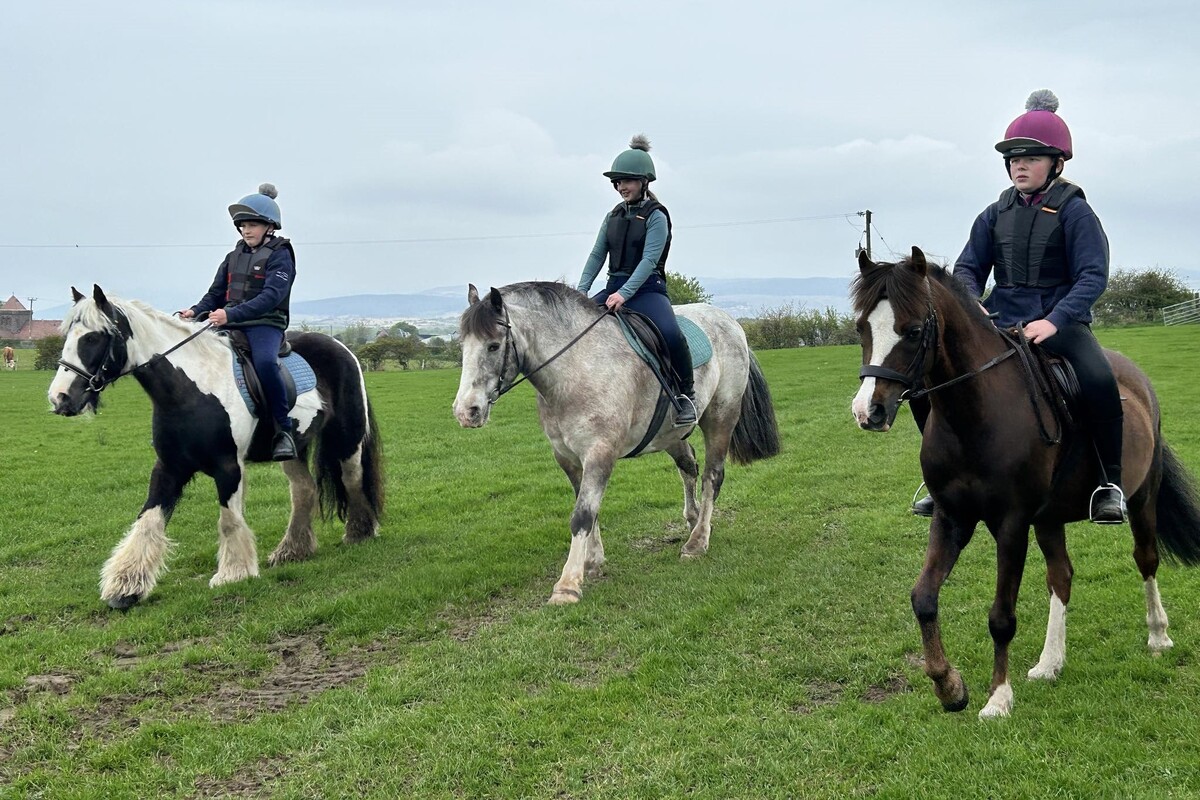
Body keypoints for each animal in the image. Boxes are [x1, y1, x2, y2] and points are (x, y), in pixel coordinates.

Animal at [48, 285, 384, 609]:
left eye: (93, 337)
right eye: (68, 337)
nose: (59, 398)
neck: (190, 389)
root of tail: (341, 348)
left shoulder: (228, 467)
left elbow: (229, 520)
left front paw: (233, 574)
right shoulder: (169, 467)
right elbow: (148, 519)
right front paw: (125, 586)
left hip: (348, 438)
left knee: (352, 478)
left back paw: (359, 532)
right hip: (294, 448)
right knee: (304, 490)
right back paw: (292, 550)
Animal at [453, 282, 781, 604]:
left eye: (493, 346)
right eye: (463, 347)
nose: (466, 411)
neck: (577, 368)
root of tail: (730, 322)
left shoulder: (600, 452)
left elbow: (582, 515)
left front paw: (567, 585)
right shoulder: (567, 457)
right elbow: (588, 509)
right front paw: (592, 562)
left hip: (721, 417)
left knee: (712, 476)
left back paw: (697, 542)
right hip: (670, 434)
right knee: (689, 466)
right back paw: (694, 520)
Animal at [851, 247, 1200, 718]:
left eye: (914, 330)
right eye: (861, 327)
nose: (867, 411)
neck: (975, 414)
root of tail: (1136, 378)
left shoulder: (1011, 524)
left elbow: (1001, 616)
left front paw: (998, 697)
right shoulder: (951, 517)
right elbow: (923, 598)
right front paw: (949, 685)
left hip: (1143, 498)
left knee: (1146, 559)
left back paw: (1158, 634)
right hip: (1049, 519)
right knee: (1062, 576)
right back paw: (1050, 663)